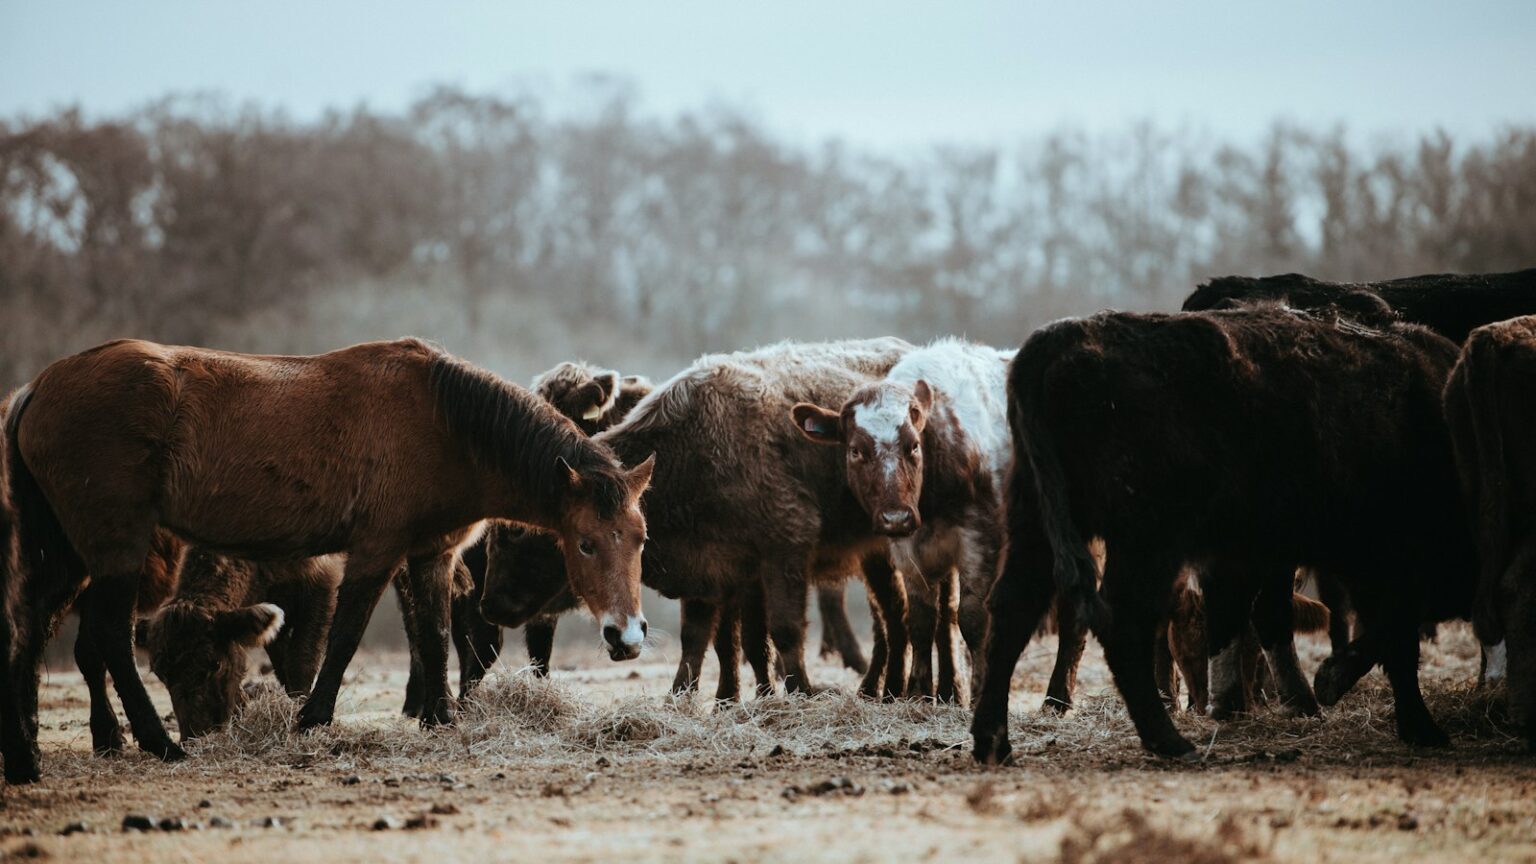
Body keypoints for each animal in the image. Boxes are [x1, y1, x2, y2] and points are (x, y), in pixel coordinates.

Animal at [972, 307, 1474, 762]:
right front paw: (1414, 723)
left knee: (1013, 607)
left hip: (1039, 521)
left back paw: (993, 744)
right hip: (1144, 541)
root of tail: (1064, 336)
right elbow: (1396, 633)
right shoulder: (1384, 555)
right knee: (1123, 621)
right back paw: (1170, 741)